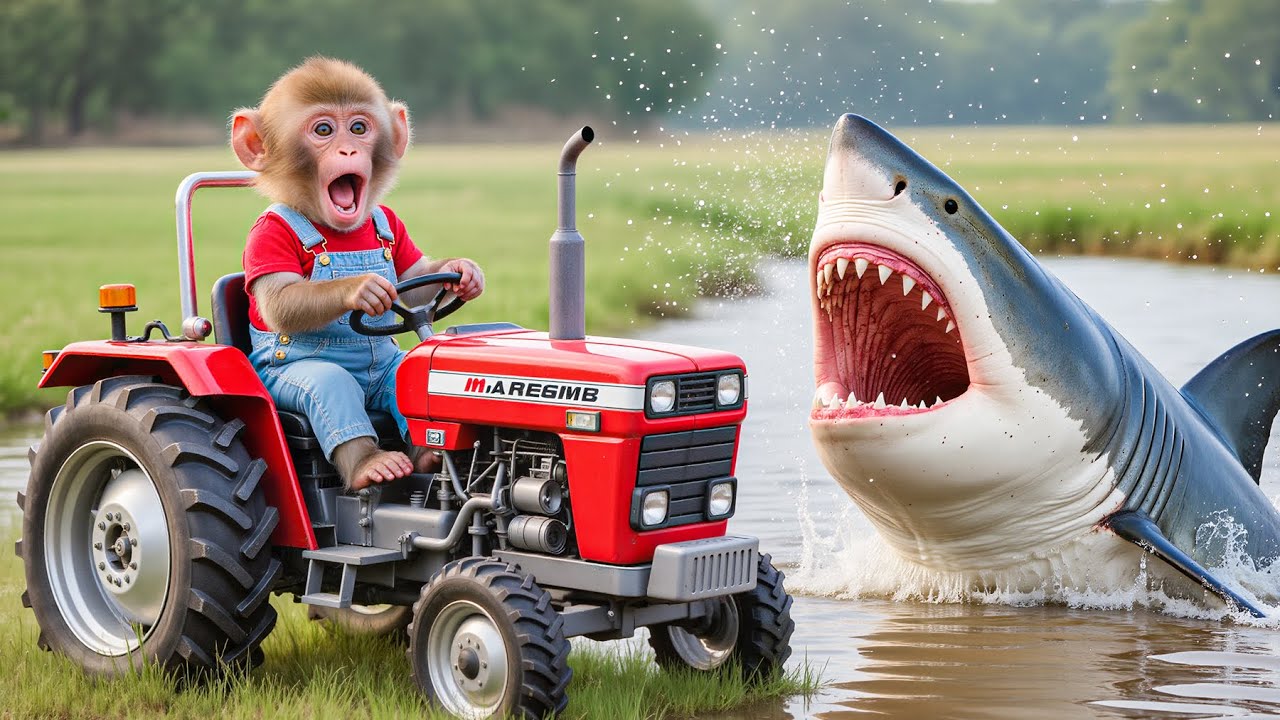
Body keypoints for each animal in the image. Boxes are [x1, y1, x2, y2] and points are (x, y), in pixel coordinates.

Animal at [230, 57, 484, 491]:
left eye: (360, 128)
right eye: (323, 130)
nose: (348, 148)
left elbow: (415, 276)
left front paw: (463, 270)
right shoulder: (267, 236)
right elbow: (279, 299)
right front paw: (363, 289)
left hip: (389, 372)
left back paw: (425, 455)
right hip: (288, 384)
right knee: (331, 389)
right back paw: (372, 464)